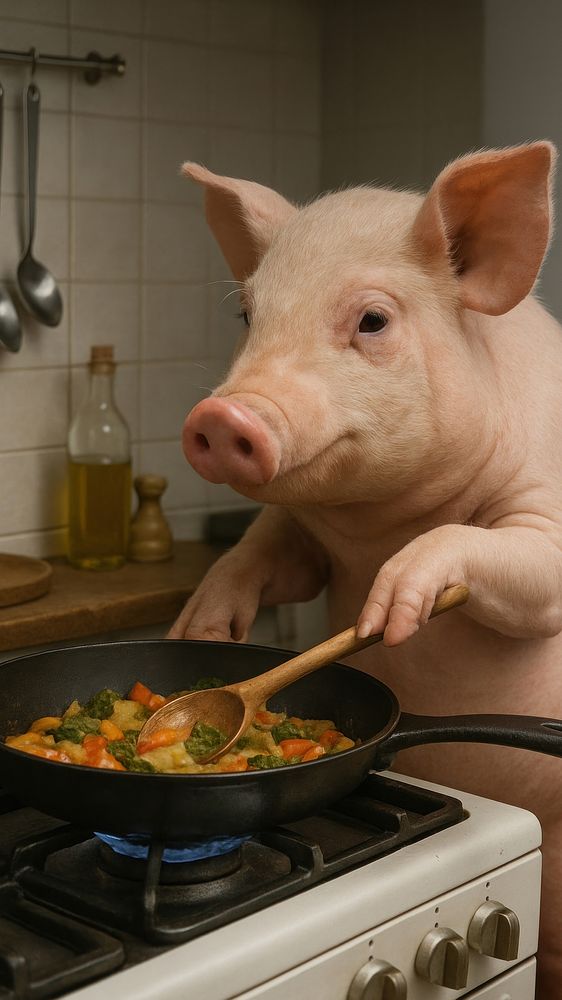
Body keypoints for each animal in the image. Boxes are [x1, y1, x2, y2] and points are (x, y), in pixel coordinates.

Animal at [169, 144, 562, 998]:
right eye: (247, 316)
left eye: (373, 320)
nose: (219, 417)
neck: (377, 523)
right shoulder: (306, 538)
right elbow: (260, 554)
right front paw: (203, 628)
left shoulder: (547, 528)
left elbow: (512, 564)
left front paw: (390, 610)